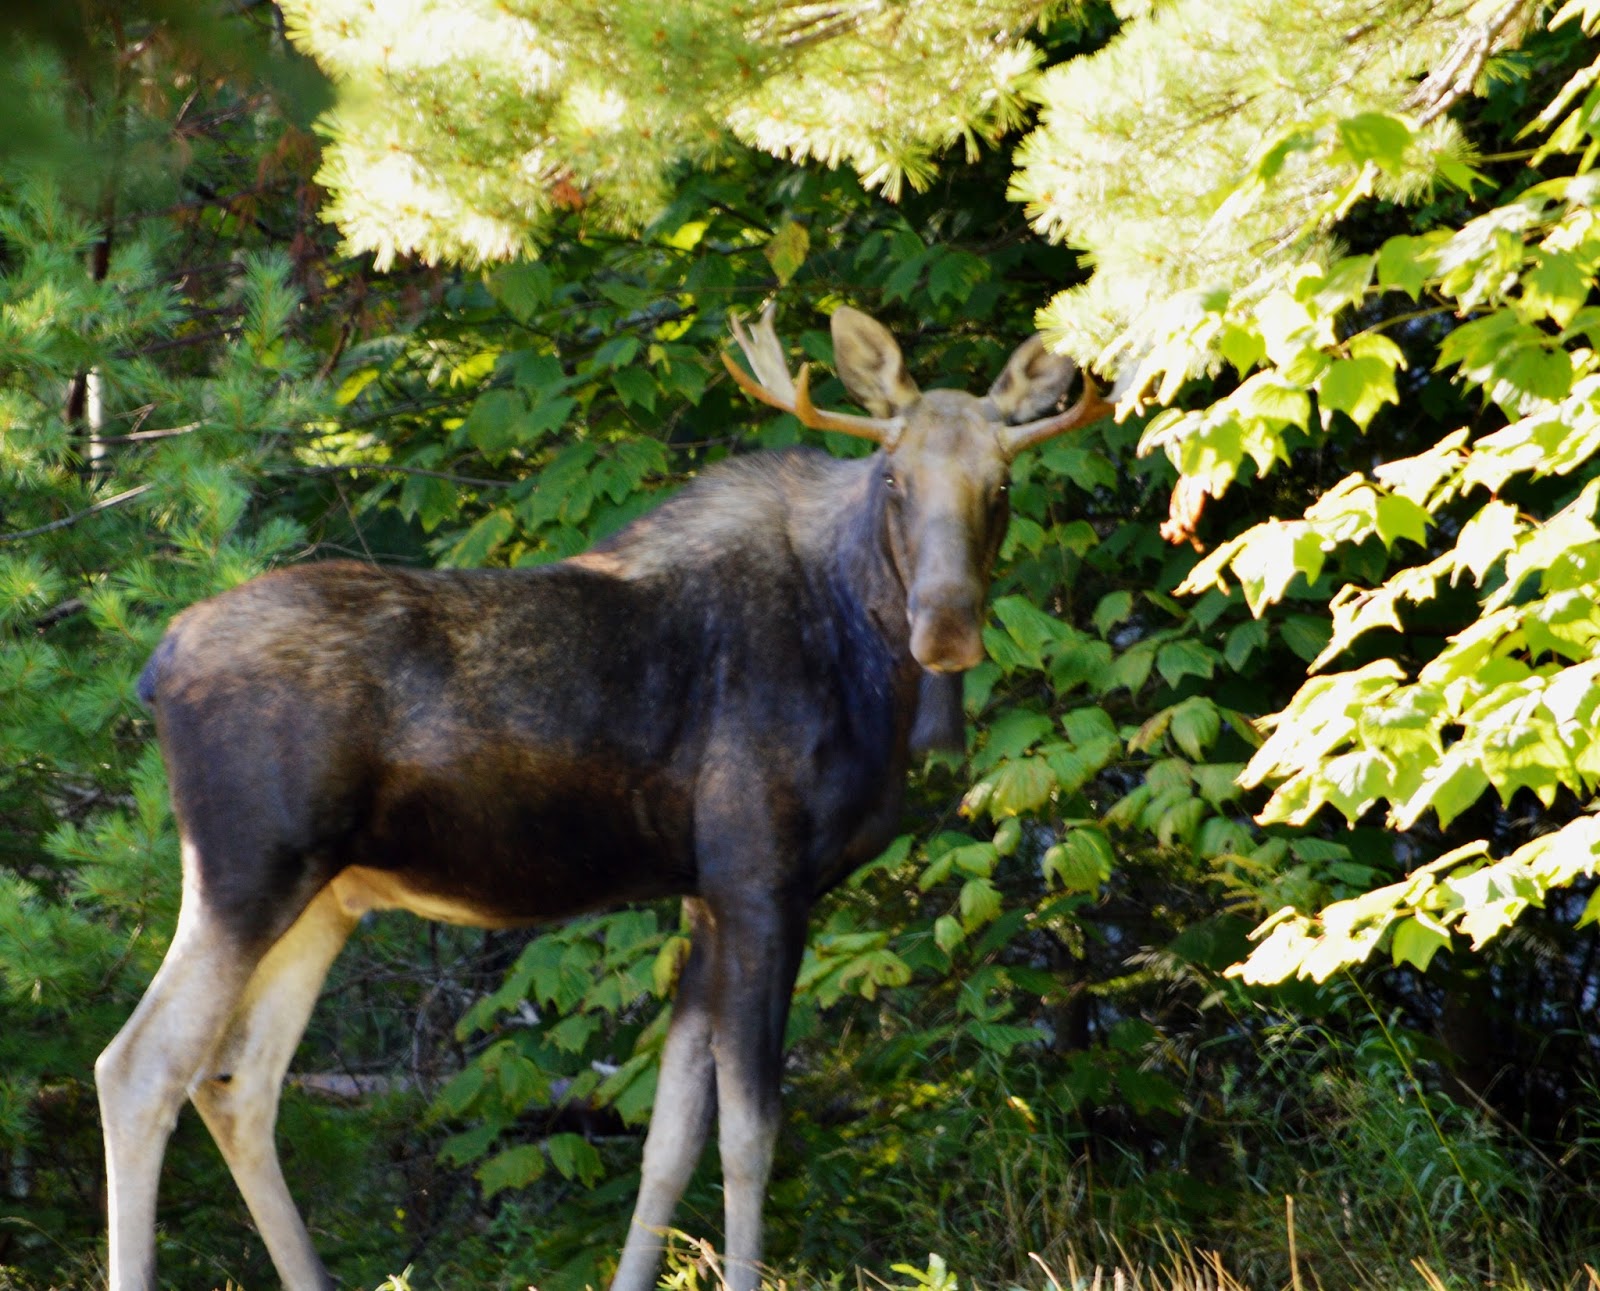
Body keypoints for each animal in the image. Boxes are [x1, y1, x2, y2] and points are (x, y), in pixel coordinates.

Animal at [95, 304, 1109, 1291]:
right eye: (895, 477)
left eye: (1001, 485)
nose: (947, 626)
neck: (868, 662)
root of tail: (155, 667)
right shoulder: (761, 881)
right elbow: (751, 1133)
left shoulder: (705, 894)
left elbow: (669, 1139)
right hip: (247, 869)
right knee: (140, 1065)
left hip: (328, 896)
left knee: (238, 1083)